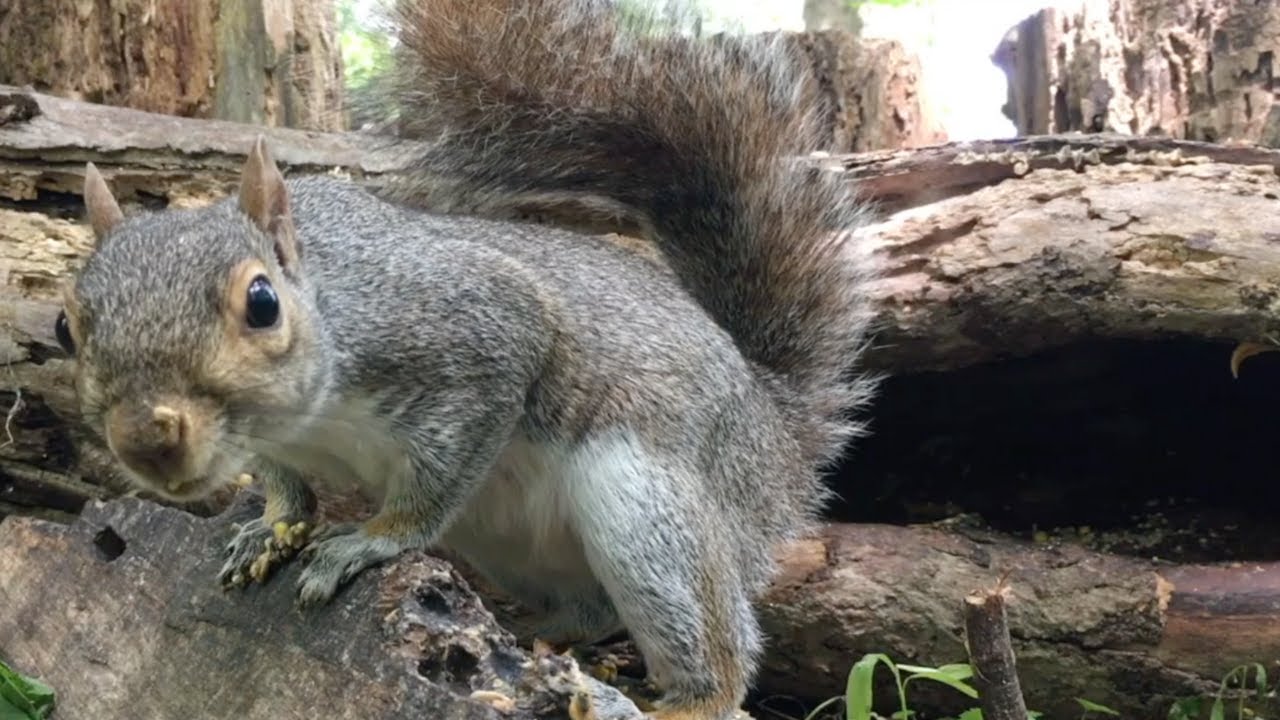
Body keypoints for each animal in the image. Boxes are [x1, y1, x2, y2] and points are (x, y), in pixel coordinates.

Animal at [57, 0, 880, 717]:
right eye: (68, 325)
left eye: (262, 303)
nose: (148, 441)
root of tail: (774, 433)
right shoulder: (276, 442)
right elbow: (283, 486)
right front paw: (275, 525)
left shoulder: (479, 334)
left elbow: (435, 478)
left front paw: (369, 539)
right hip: (511, 541)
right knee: (589, 607)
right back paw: (536, 638)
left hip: (649, 510)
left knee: (719, 661)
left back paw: (662, 698)